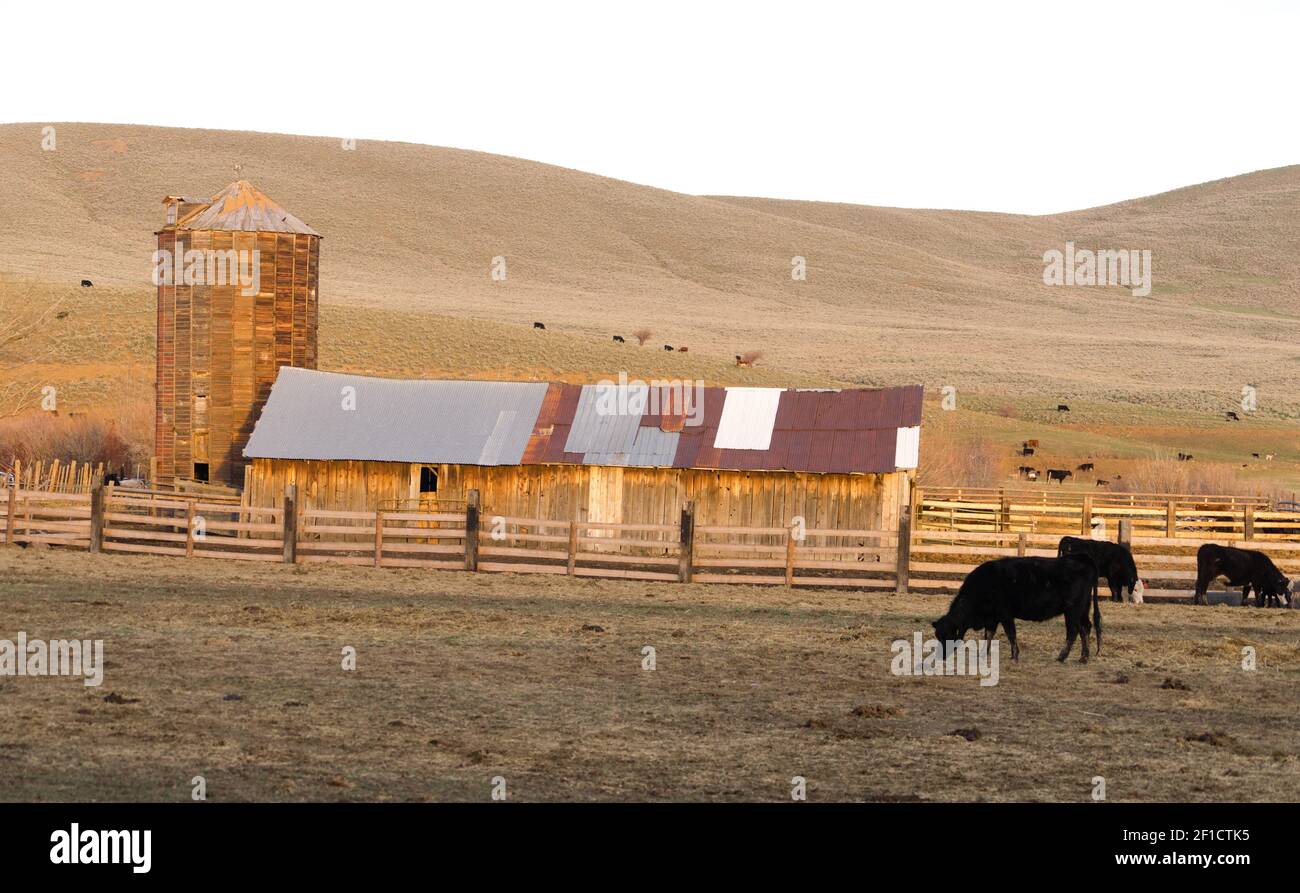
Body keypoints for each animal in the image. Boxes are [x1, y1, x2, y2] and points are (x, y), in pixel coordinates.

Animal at [931, 554, 1101, 663]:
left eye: (948, 635)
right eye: (938, 636)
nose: (940, 657)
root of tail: (1081, 559)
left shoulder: (1005, 614)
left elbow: (1010, 634)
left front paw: (1014, 656)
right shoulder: (991, 618)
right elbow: (988, 635)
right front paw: (983, 654)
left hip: (1072, 609)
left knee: (1073, 631)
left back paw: (1062, 656)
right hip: (1082, 609)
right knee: (1085, 628)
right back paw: (1083, 657)